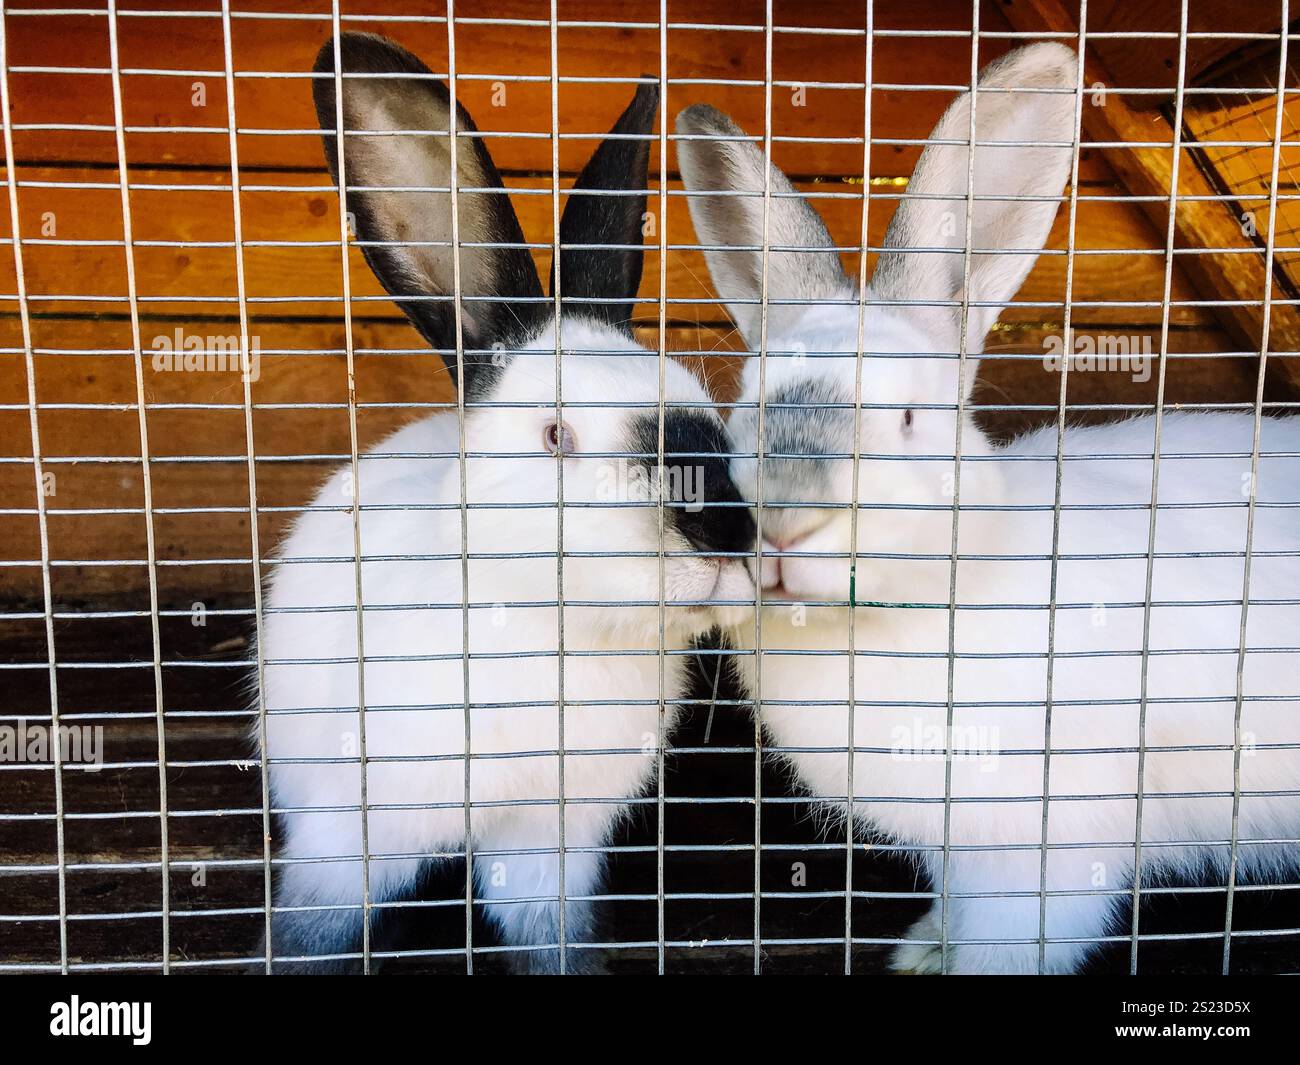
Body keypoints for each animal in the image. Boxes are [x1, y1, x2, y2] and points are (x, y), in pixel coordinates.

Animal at [256, 32, 755, 974]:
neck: (556, 630)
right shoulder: (345, 843)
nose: (724, 531)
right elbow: (312, 937)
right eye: (556, 436)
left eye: (707, 410)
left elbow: (550, 941)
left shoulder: (549, 851)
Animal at [675, 41, 1300, 974]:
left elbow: (1004, 948)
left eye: (910, 418)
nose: (784, 523)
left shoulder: (1039, 863)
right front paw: (925, 950)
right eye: (747, 409)